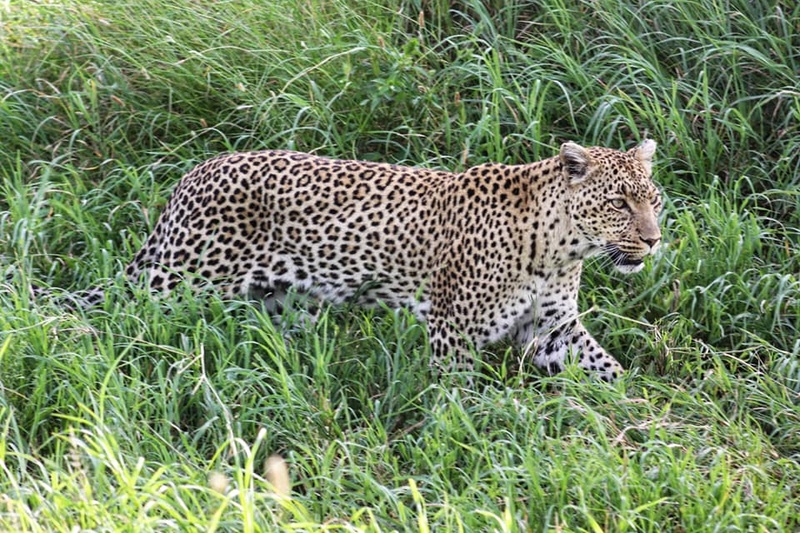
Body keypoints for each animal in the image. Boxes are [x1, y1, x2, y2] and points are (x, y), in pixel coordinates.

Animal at [57, 140, 662, 381]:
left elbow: (608, 369)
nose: (654, 241)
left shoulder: (553, 328)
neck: (559, 248)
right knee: (119, 315)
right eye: (618, 203)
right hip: (178, 286)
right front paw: (471, 430)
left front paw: (640, 412)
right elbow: (458, 396)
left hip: (283, 303)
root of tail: (190, 177)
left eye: (653, 200)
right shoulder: (453, 331)